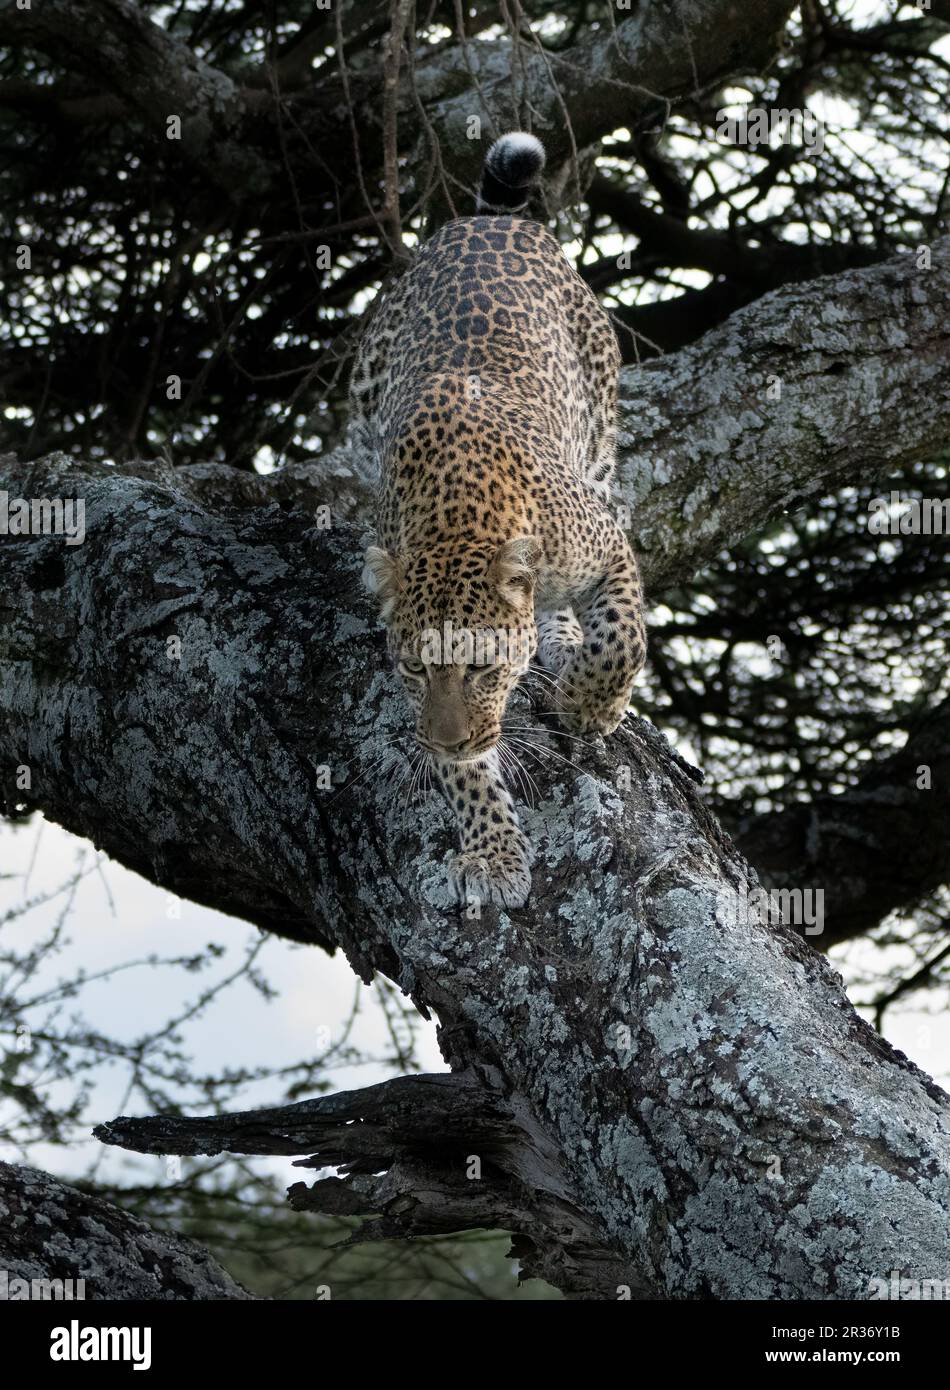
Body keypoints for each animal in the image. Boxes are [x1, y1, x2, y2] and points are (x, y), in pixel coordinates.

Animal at [352, 131, 646, 909]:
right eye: (415, 667)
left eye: (484, 667)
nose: (448, 738)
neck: (458, 518)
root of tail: (486, 225)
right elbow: (466, 782)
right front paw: (491, 852)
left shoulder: (608, 544)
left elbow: (623, 640)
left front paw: (588, 708)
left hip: (599, 427)